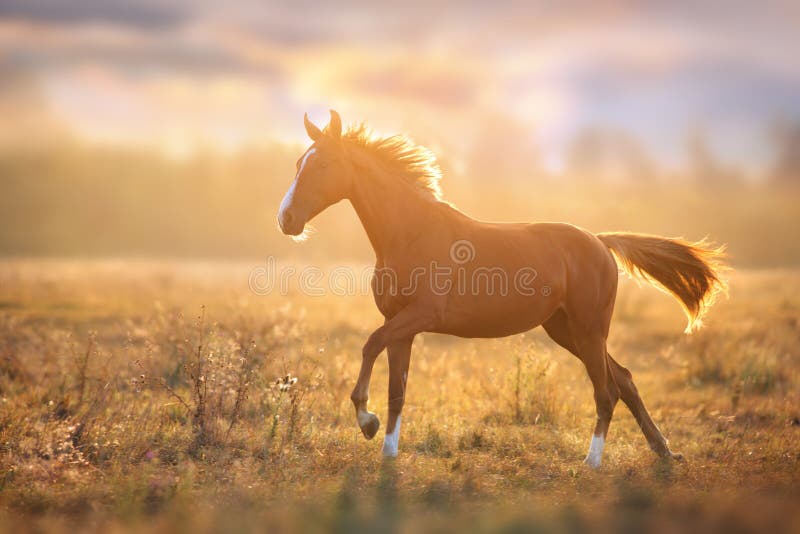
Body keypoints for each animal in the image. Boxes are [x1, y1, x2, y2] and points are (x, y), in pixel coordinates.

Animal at [277, 110, 727, 468]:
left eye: (323, 164)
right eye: (297, 162)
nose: (286, 220)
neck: (410, 233)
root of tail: (601, 242)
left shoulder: (421, 315)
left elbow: (369, 344)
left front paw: (365, 423)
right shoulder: (400, 325)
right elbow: (397, 390)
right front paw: (386, 451)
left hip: (589, 328)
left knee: (607, 390)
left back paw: (593, 462)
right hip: (565, 330)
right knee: (626, 380)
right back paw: (664, 451)